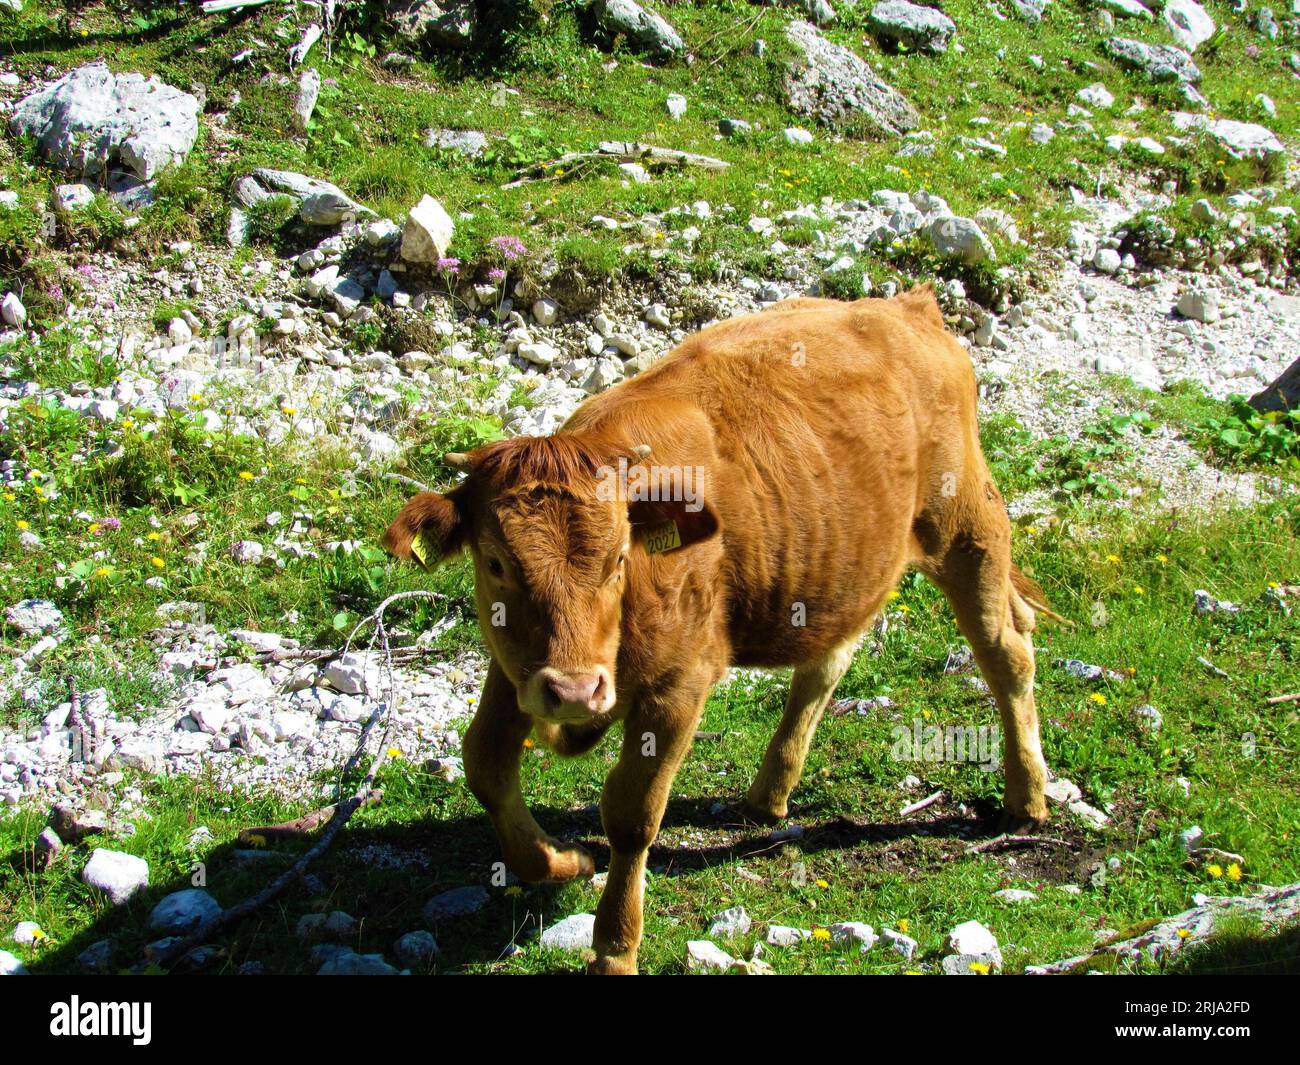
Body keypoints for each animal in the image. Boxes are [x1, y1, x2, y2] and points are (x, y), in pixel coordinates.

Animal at [384, 286, 1055, 974]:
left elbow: (632, 812)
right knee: (827, 664)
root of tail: (906, 306)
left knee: (1008, 654)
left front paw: (615, 947)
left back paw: (1027, 797)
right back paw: (770, 792)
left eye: (619, 558)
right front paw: (559, 861)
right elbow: (484, 762)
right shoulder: (514, 668)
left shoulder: (681, 683)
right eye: (495, 563)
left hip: (968, 528)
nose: (573, 692)